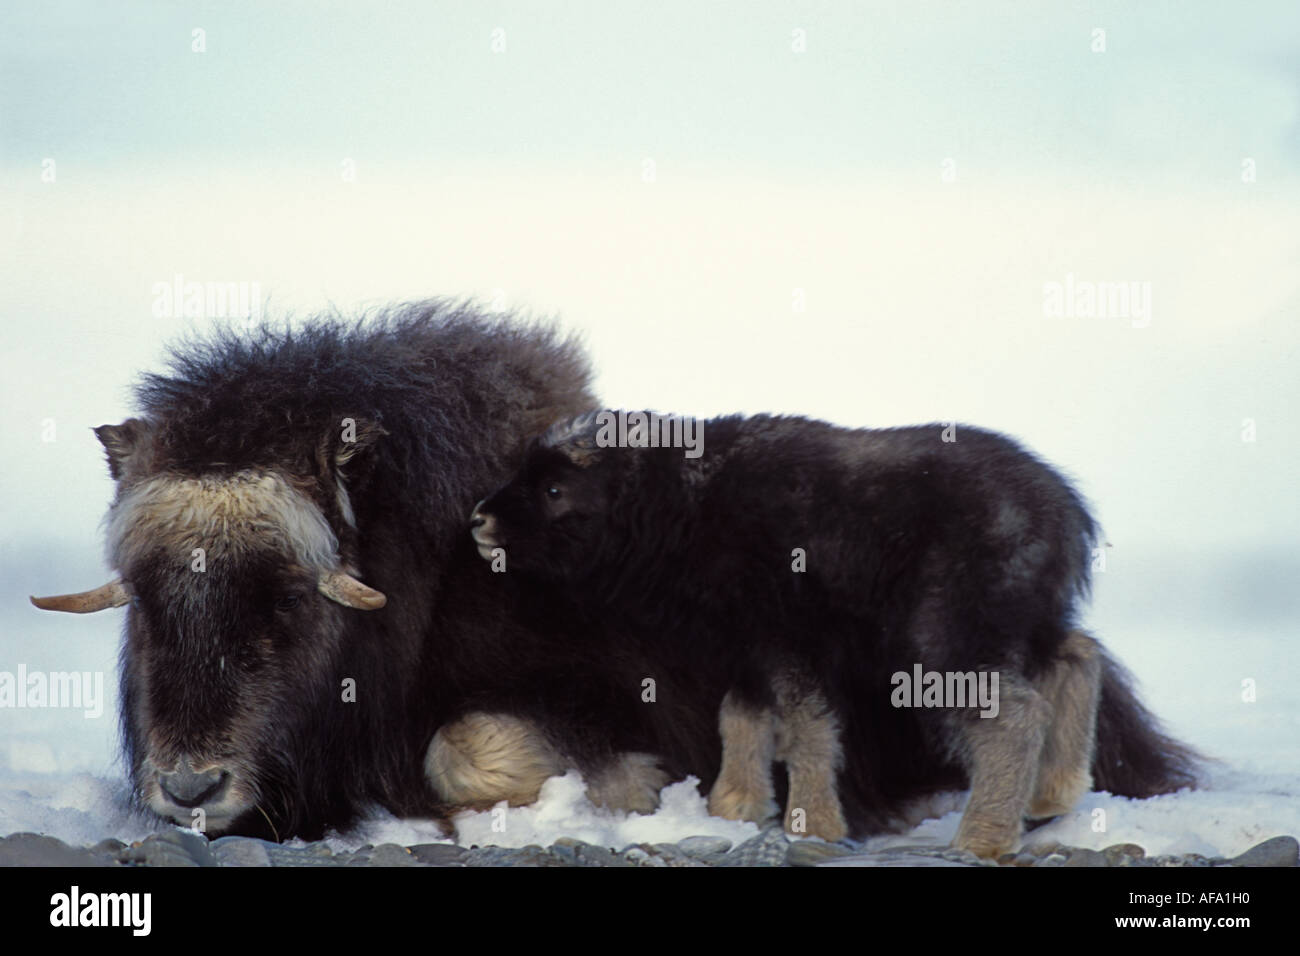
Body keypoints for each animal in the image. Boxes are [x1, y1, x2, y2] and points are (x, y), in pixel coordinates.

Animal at [468, 409, 1201, 857]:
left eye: (556, 489)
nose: (478, 520)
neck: (682, 505)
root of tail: (1066, 510)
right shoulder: (750, 649)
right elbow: (742, 719)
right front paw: (735, 807)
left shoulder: (791, 644)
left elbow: (807, 730)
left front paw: (810, 825)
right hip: (1025, 622)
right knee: (1079, 657)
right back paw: (1054, 792)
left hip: (947, 639)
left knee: (1013, 715)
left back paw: (983, 837)